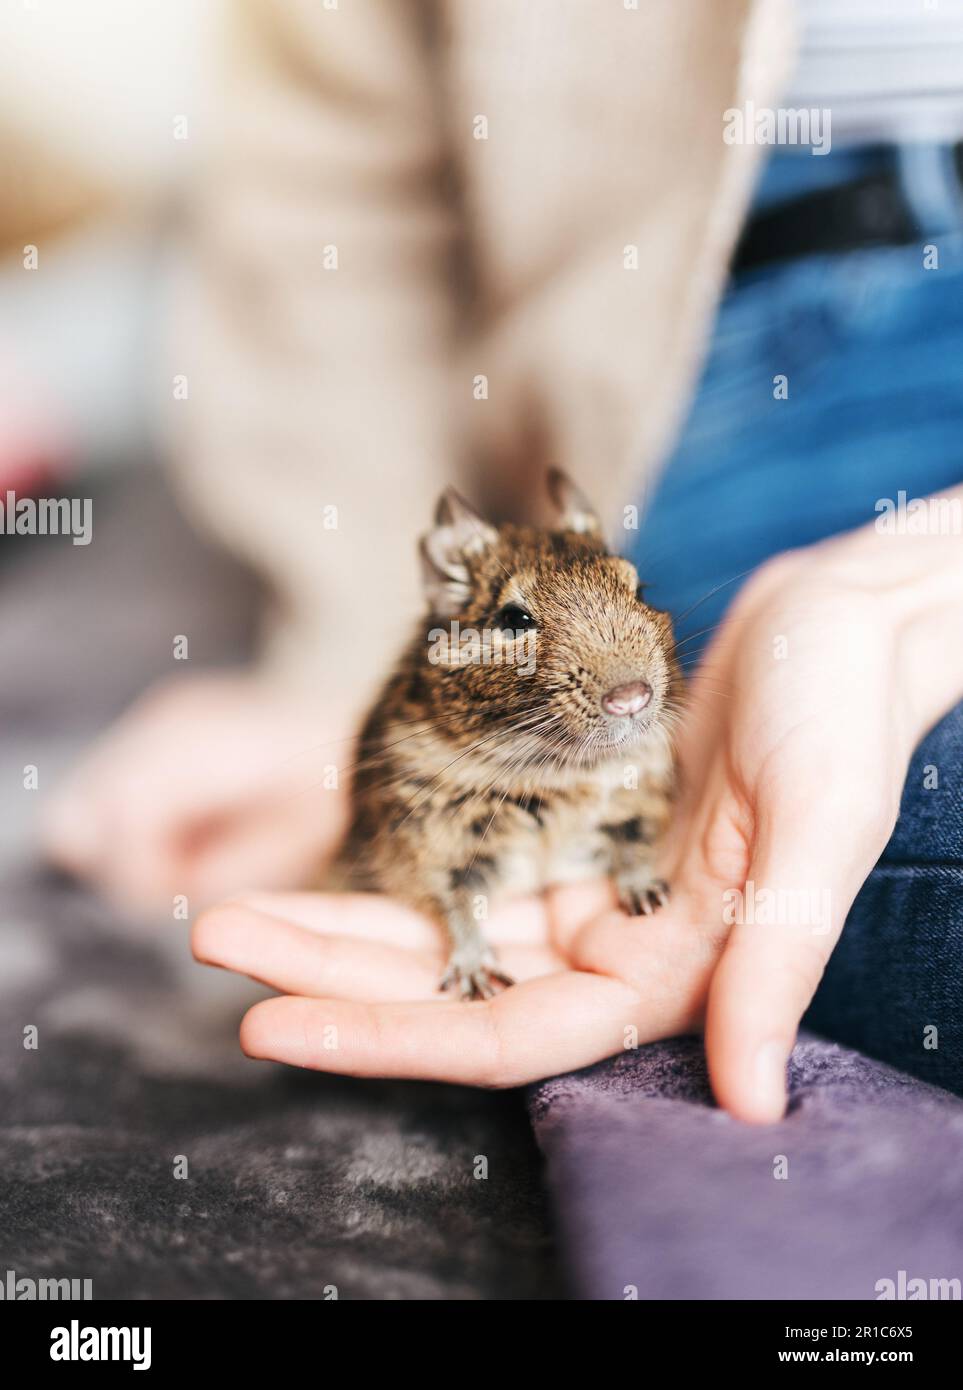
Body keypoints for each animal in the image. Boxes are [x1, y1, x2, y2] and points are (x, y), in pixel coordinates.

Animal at [330, 469, 683, 999]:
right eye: (513, 620)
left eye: (639, 589)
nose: (631, 697)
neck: (555, 766)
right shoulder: (428, 844)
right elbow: (453, 903)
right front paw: (476, 975)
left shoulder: (640, 800)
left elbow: (634, 845)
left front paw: (648, 894)